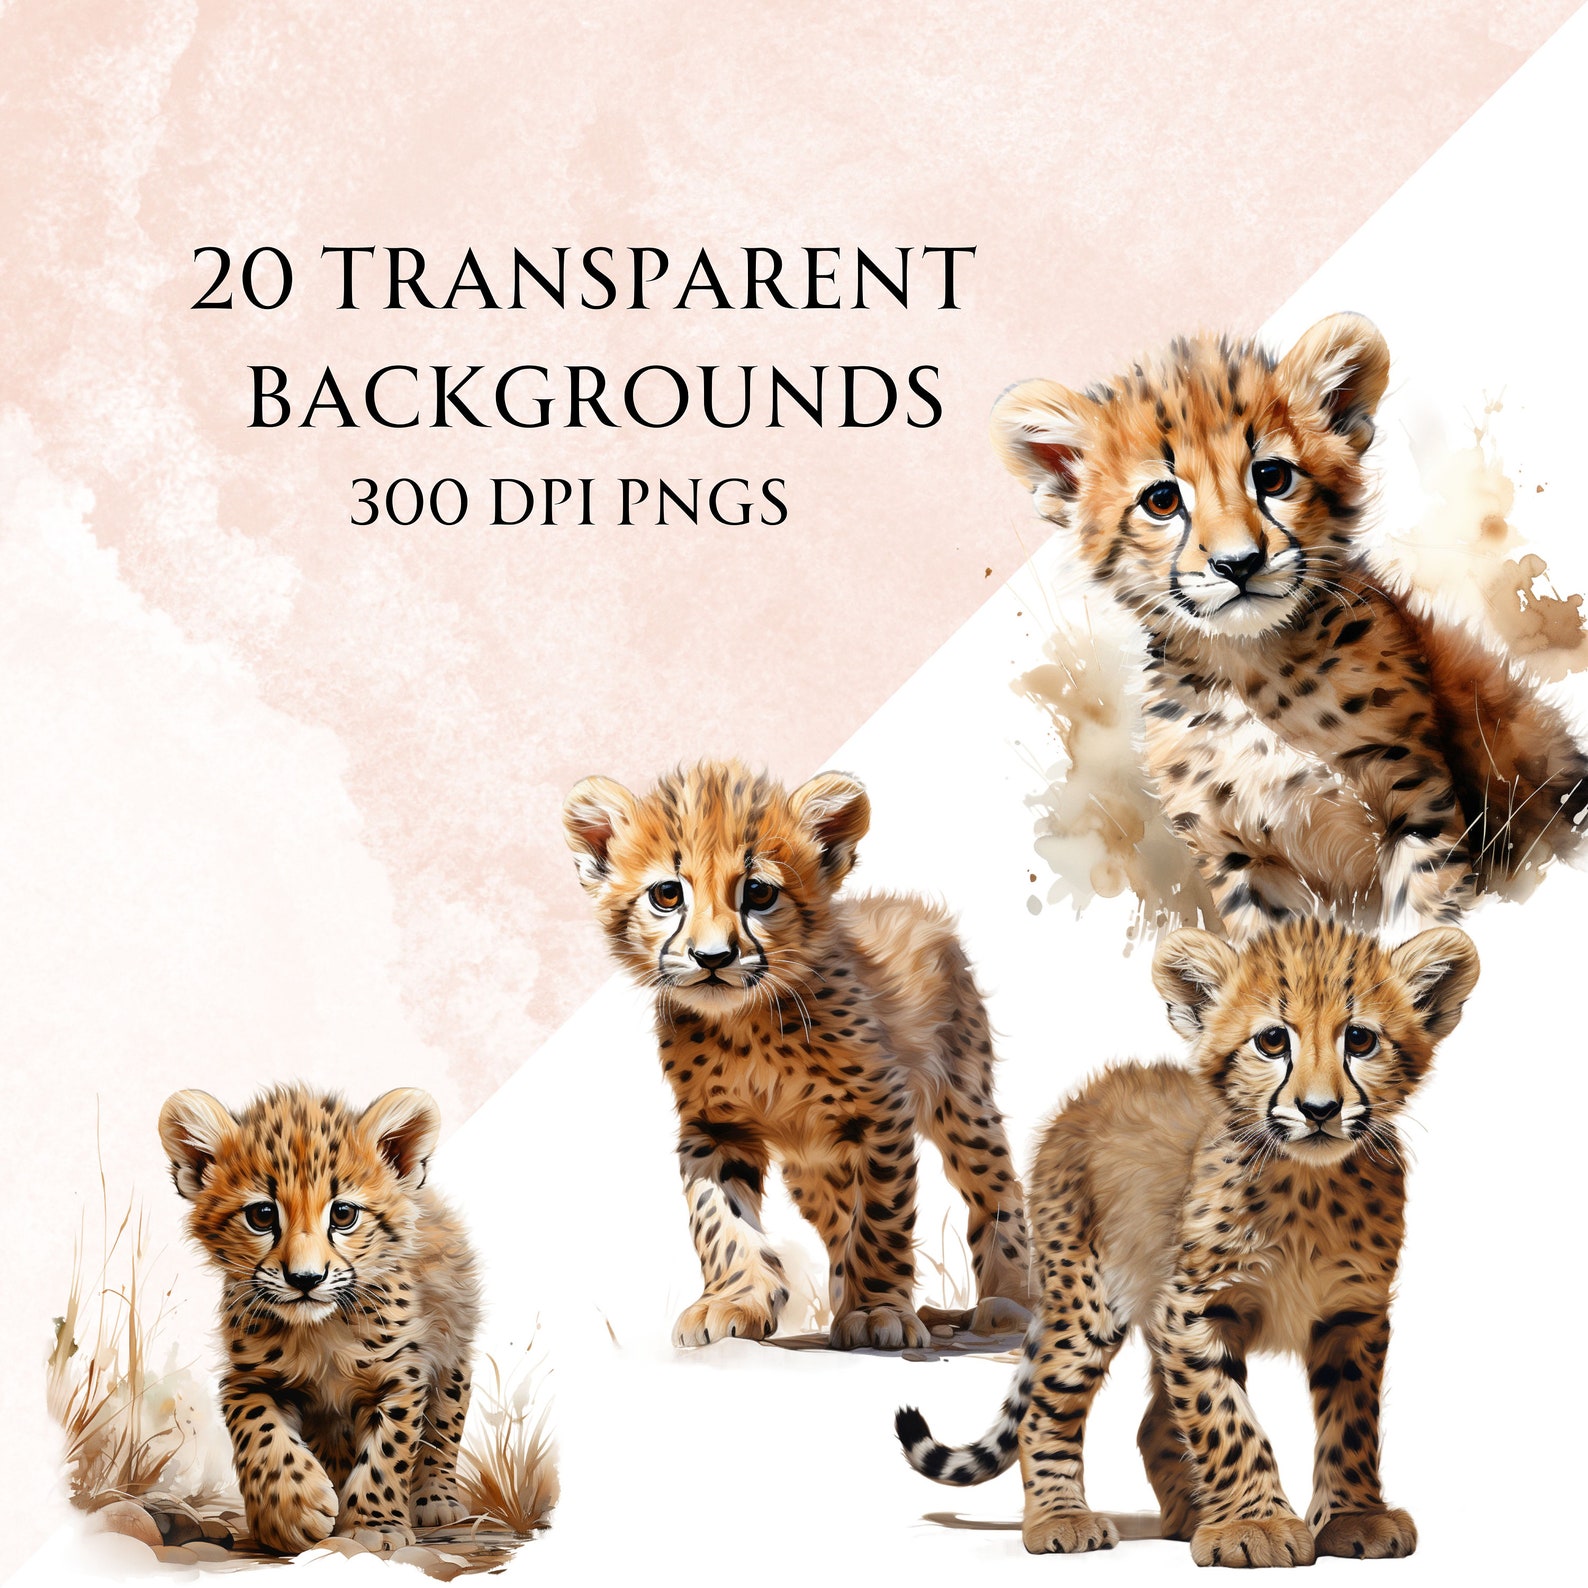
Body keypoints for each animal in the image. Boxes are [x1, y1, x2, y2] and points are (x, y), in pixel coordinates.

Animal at [158, 1084, 481, 1555]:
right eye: (262, 1215)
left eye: (343, 1214)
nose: (305, 1279)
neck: (321, 1331)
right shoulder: (246, 1379)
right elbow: (259, 1432)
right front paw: (289, 1511)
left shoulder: (401, 1377)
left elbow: (389, 1452)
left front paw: (374, 1525)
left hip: (453, 1354)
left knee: (444, 1425)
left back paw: (435, 1499)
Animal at [562, 758, 1034, 1351]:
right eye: (667, 895)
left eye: (759, 893)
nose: (712, 957)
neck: (747, 1023)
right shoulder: (714, 1128)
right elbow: (720, 1219)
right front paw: (734, 1299)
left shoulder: (883, 1114)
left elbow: (880, 1218)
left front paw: (876, 1309)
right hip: (813, 1170)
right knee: (835, 1218)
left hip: (962, 1101)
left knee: (995, 1188)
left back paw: (1008, 1302)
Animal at [896, 915, 1478, 1567]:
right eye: (1272, 1042)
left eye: (1360, 1040)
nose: (1320, 1110)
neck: (1309, 1183)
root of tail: (1088, 1094)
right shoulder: (1194, 1308)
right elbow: (1224, 1418)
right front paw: (1255, 1525)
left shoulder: (1353, 1311)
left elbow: (1352, 1420)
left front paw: (1354, 1517)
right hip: (1088, 1304)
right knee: (1047, 1406)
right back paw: (1062, 1519)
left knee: (1151, 1424)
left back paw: (1191, 1516)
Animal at [992, 311, 1588, 939]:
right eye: (1161, 500)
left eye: (1272, 477)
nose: (1238, 563)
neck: (1254, 673)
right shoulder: (1240, 858)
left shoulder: (1415, 808)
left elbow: (1427, 918)